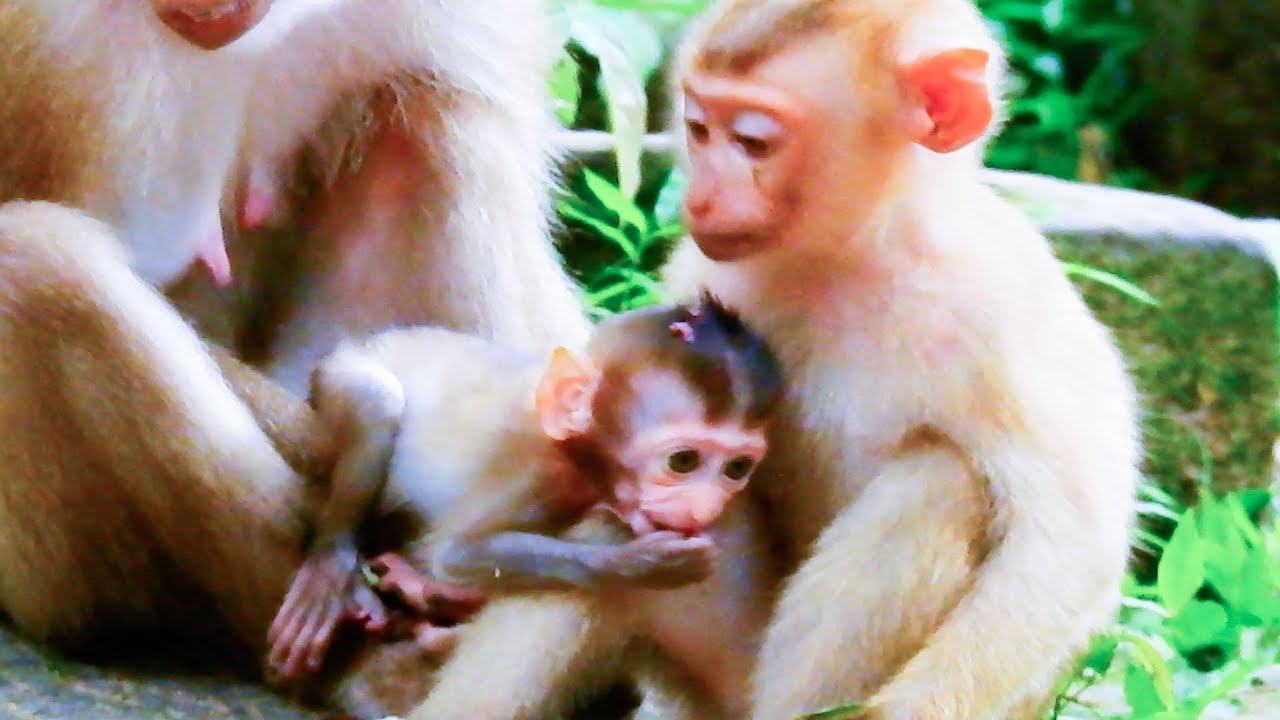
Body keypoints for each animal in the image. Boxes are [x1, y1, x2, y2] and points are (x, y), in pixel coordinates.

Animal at [266, 294, 785, 688]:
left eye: (737, 469)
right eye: (684, 461)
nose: (707, 505)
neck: (580, 457)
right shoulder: (538, 470)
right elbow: (458, 552)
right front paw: (642, 563)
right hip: (342, 371)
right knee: (377, 401)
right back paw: (332, 568)